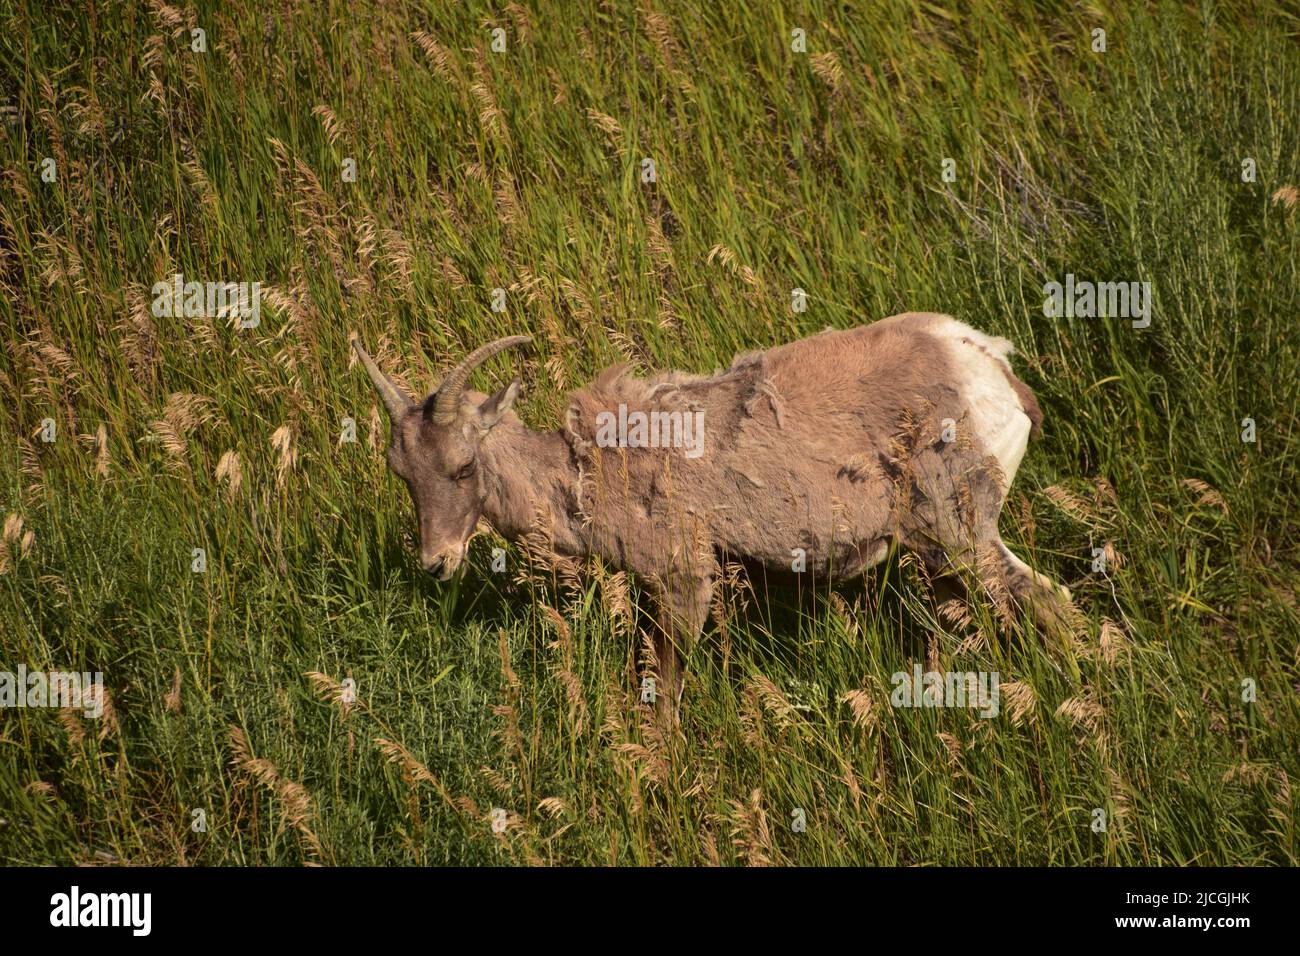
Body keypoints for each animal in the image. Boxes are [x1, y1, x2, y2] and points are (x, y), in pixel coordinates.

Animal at [351, 312, 1076, 715]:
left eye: (462, 467)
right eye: (403, 474)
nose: (436, 563)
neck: (593, 467)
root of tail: (991, 371)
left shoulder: (683, 580)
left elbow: (663, 687)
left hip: (961, 536)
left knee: (1050, 600)